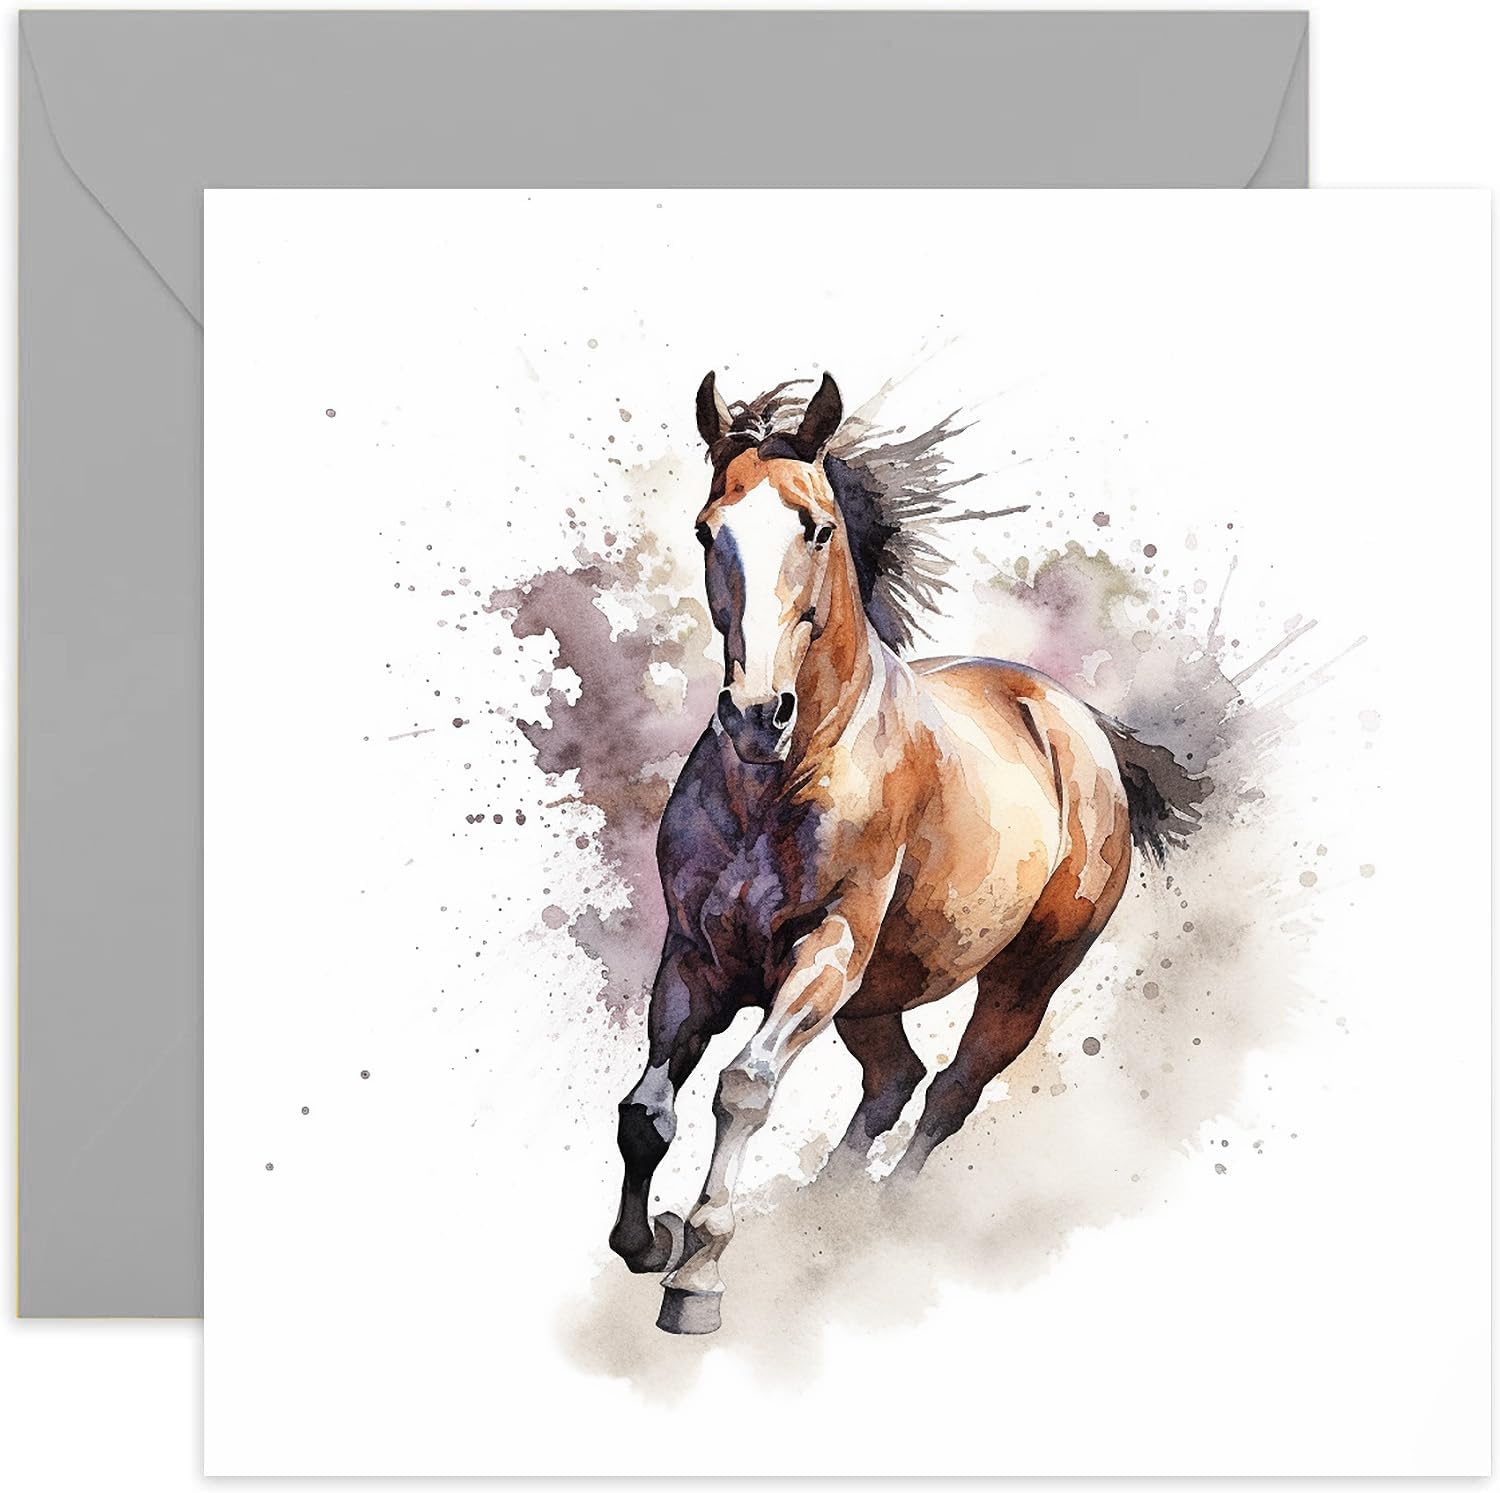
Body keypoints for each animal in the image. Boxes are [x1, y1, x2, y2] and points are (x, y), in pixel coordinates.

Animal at [607, 371, 1203, 1335]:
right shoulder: (694, 957)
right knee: (894, 1079)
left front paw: (697, 1275)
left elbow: (743, 1088)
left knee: (949, 1089)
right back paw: (821, 1215)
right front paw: (648, 1240)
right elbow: (645, 1112)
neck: (784, 779)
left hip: (1021, 981)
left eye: (815, 526)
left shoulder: (825, 952)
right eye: (706, 528)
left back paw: (872, 1227)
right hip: (877, 995)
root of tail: (1080, 724)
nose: (755, 713)